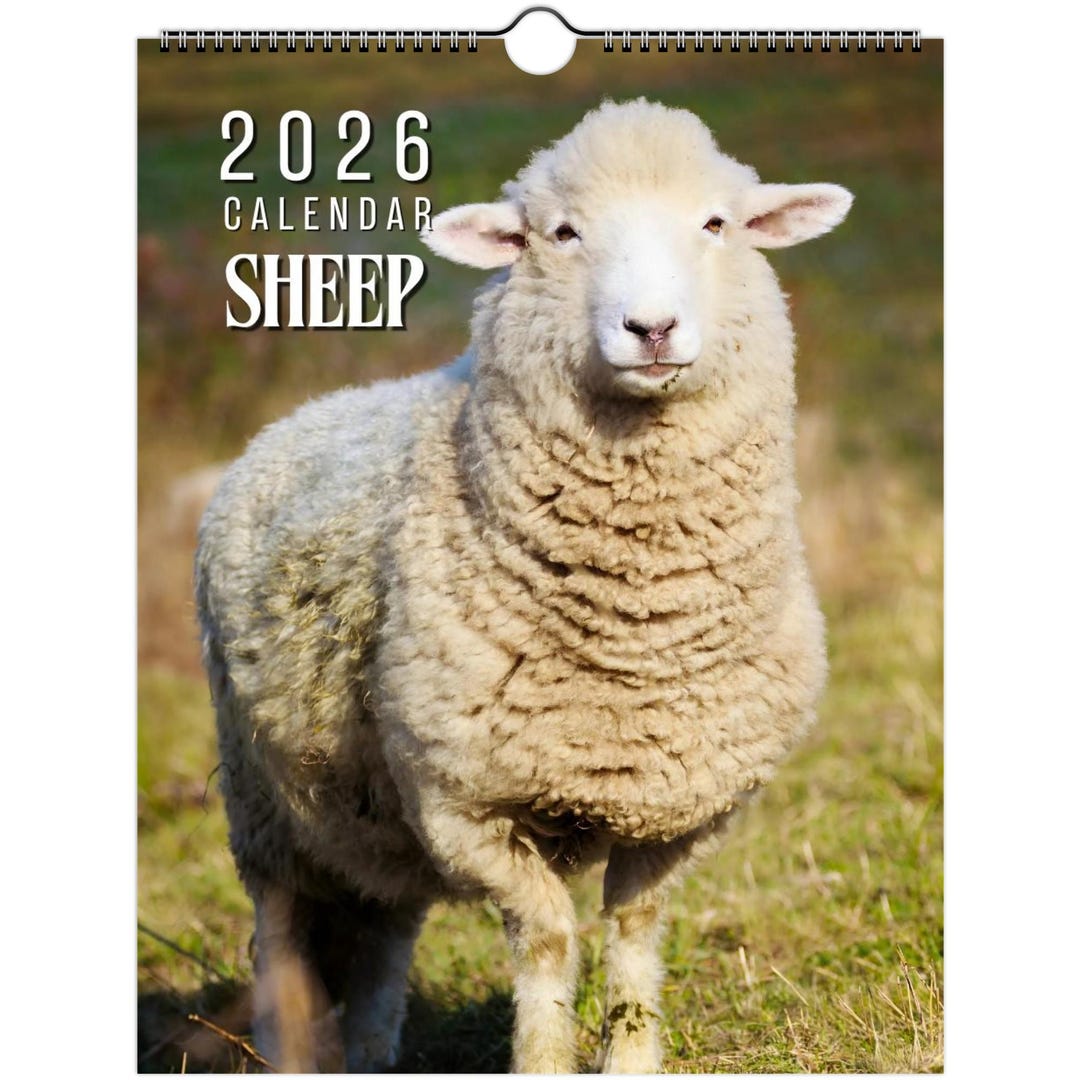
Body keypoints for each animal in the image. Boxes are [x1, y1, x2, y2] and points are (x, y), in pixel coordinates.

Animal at [195, 98, 852, 1074]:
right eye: (563, 233)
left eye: (716, 224)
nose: (652, 329)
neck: (636, 630)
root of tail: (295, 417)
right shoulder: (462, 799)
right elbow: (546, 940)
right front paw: (543, 1057)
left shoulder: (679, 804)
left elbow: (635, 937)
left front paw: (632, 1056)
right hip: (264, 802)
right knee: (280, 941)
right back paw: (293, 1052)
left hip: (375, 825)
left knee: (384, 937)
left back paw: (374, 1053)